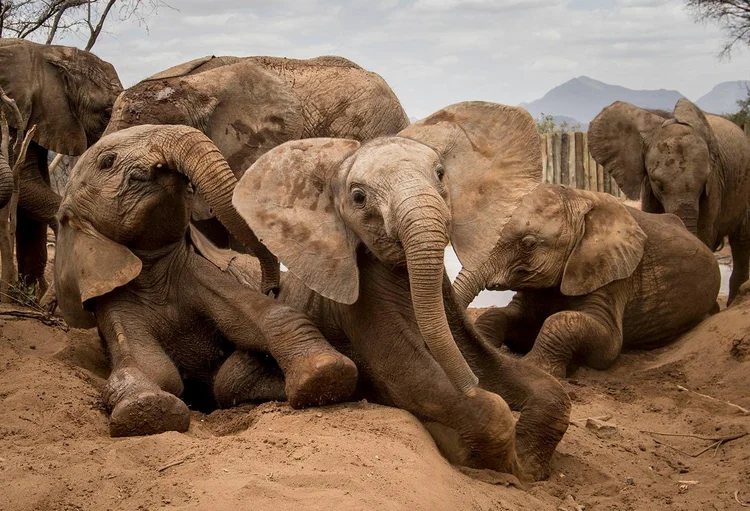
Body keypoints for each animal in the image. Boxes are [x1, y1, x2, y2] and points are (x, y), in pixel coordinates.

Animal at [53, 124, 358, 437]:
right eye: (107, 162)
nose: (271, 287)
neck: (153, 269)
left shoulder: (198, 273)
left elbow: (270, 316)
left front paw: (325, 376)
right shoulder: (112, 298)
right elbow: (151, 366)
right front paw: (147, 412)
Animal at [229, 102, 572, 481]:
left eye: (441, 174)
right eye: (358, 198)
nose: (471, 384)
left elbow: (535, 384)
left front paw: (530, 466)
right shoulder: (361, 311)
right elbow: (412, 379)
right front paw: (503, 463)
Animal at [452, 184, 721, 378]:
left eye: (528, 244)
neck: (579, 200)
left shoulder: (613, 275)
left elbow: (602, 340)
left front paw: (536, 370)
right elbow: (503, 316)